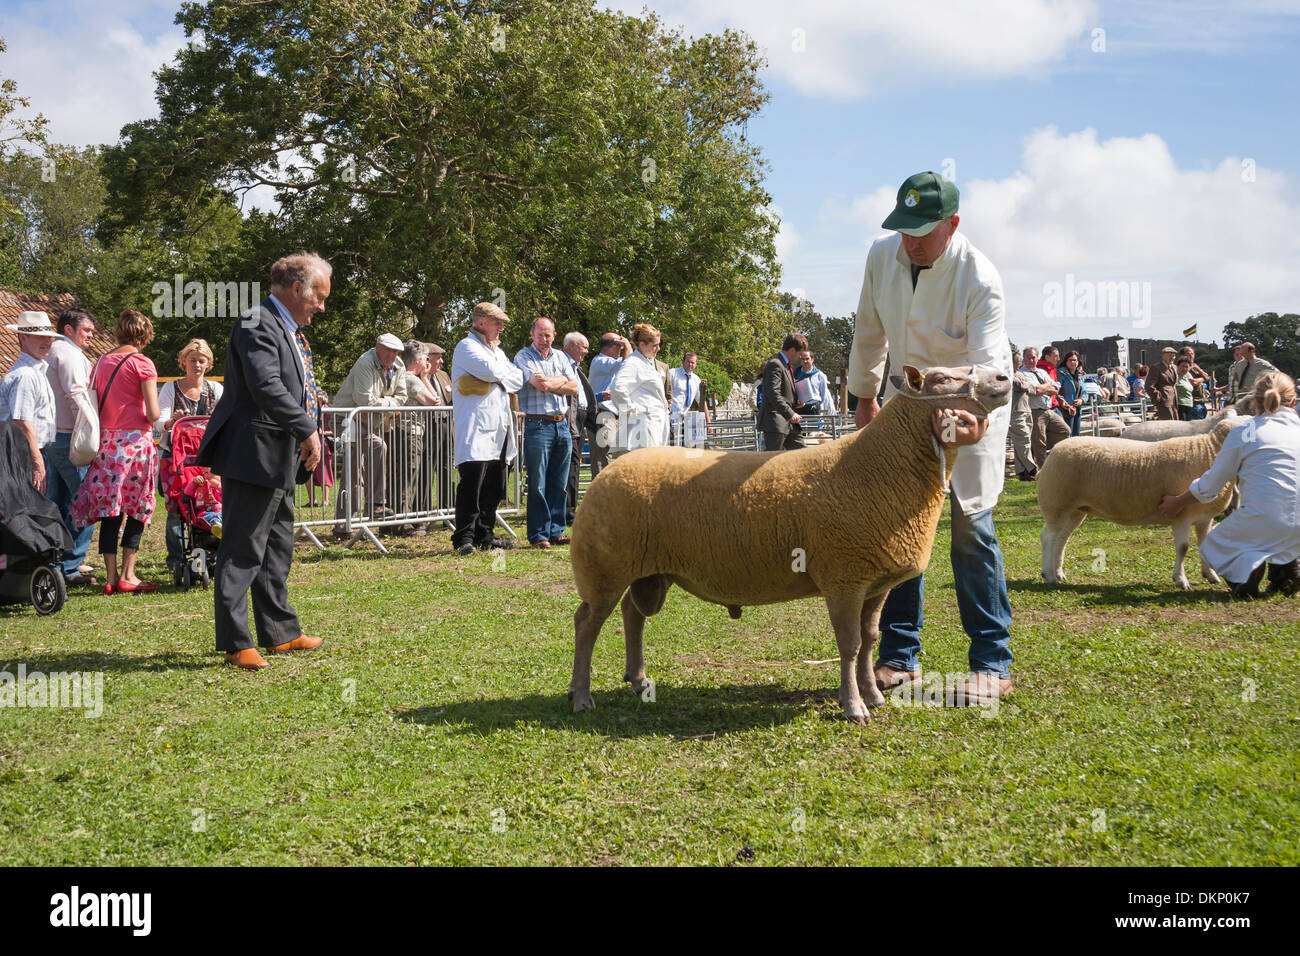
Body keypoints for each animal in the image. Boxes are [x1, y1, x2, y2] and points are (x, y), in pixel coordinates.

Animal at [566, 364, 1011, 724]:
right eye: (944, 378)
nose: (1005, 378)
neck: (877, 464)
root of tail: (606, 471)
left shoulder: (875, 583)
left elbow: (869, 640)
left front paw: (872, 695)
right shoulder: (844, 578)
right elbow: (850, 645)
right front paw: (854, 707)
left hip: (647, 569)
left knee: (632, 613)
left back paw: (638, 679)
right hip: (604, 568)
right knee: (586, 623)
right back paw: (581, 697)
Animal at [1038, 418, 1246, 590]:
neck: (1209, 452)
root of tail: (1054, 449)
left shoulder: (1204, 517)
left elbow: (1203, 545)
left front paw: (1210, 575)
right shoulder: (1181, 516)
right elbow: (1183, 548)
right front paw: (1181, 580)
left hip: (1075, 510)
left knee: (1061, 539)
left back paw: (1059, 573)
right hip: (1056, 504)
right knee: (1048, 537)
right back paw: (1049, 575)